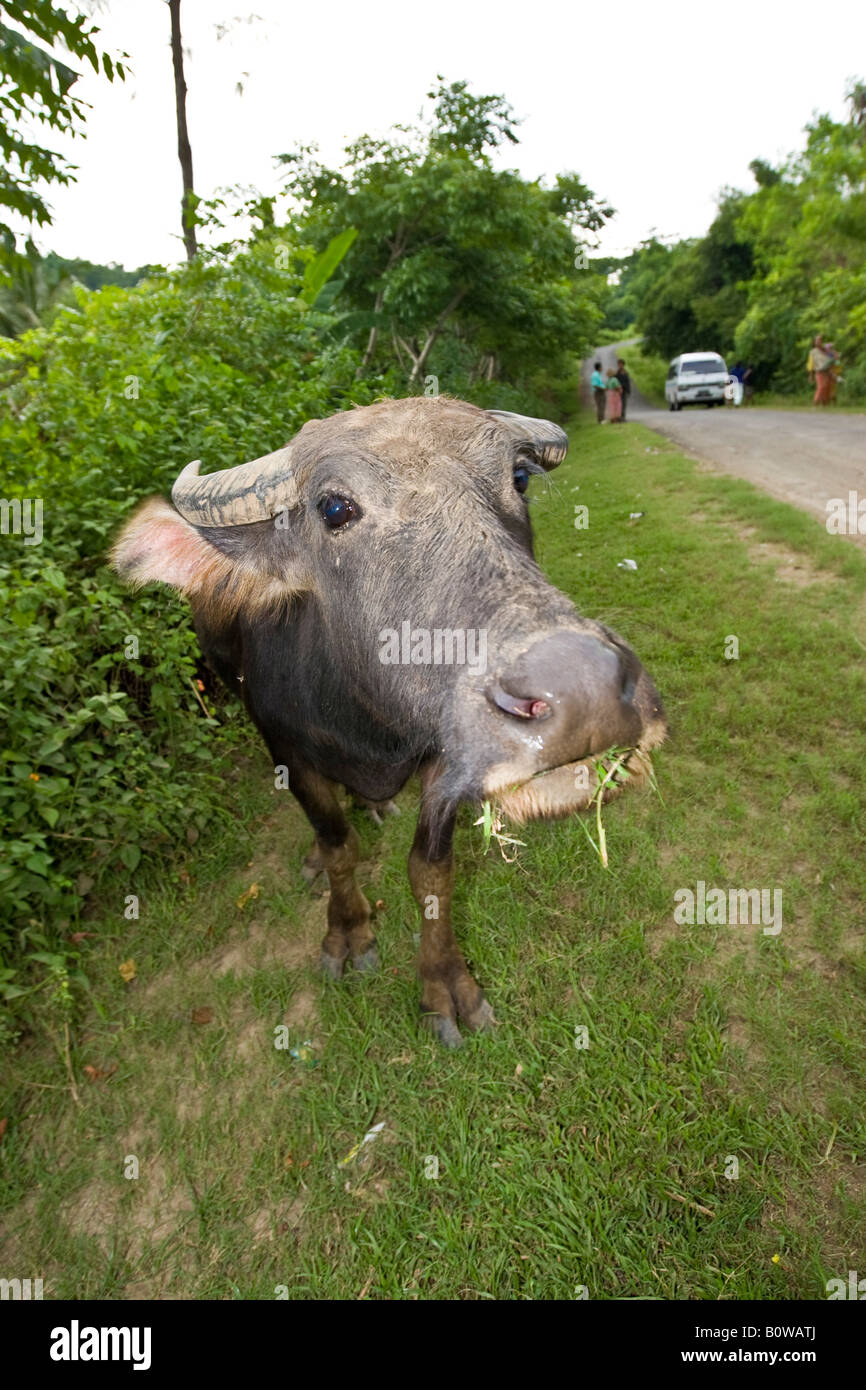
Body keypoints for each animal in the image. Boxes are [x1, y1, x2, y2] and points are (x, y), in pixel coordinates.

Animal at [113, 397, 666, 1046]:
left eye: (520, 478)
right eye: (334, 508)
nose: (585, 691)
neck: (369, 721)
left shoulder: (443, 763)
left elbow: (430, 871)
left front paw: (446, 986)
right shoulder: (286, 752)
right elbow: (339, 848)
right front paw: (348, 934)